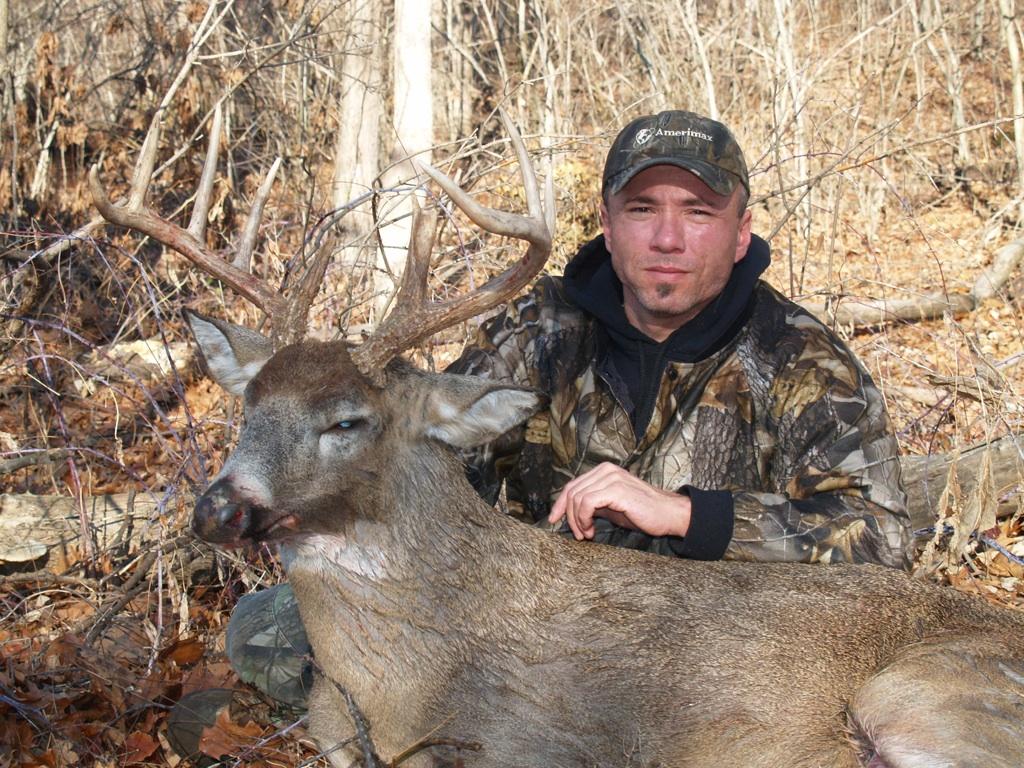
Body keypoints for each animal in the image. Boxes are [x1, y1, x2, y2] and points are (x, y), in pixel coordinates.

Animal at [90, 108, 1024, 768]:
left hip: (923, 703)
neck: (401, 682)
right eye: (250, 405)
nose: (216, 508)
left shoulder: (543, 744)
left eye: (348, 420)